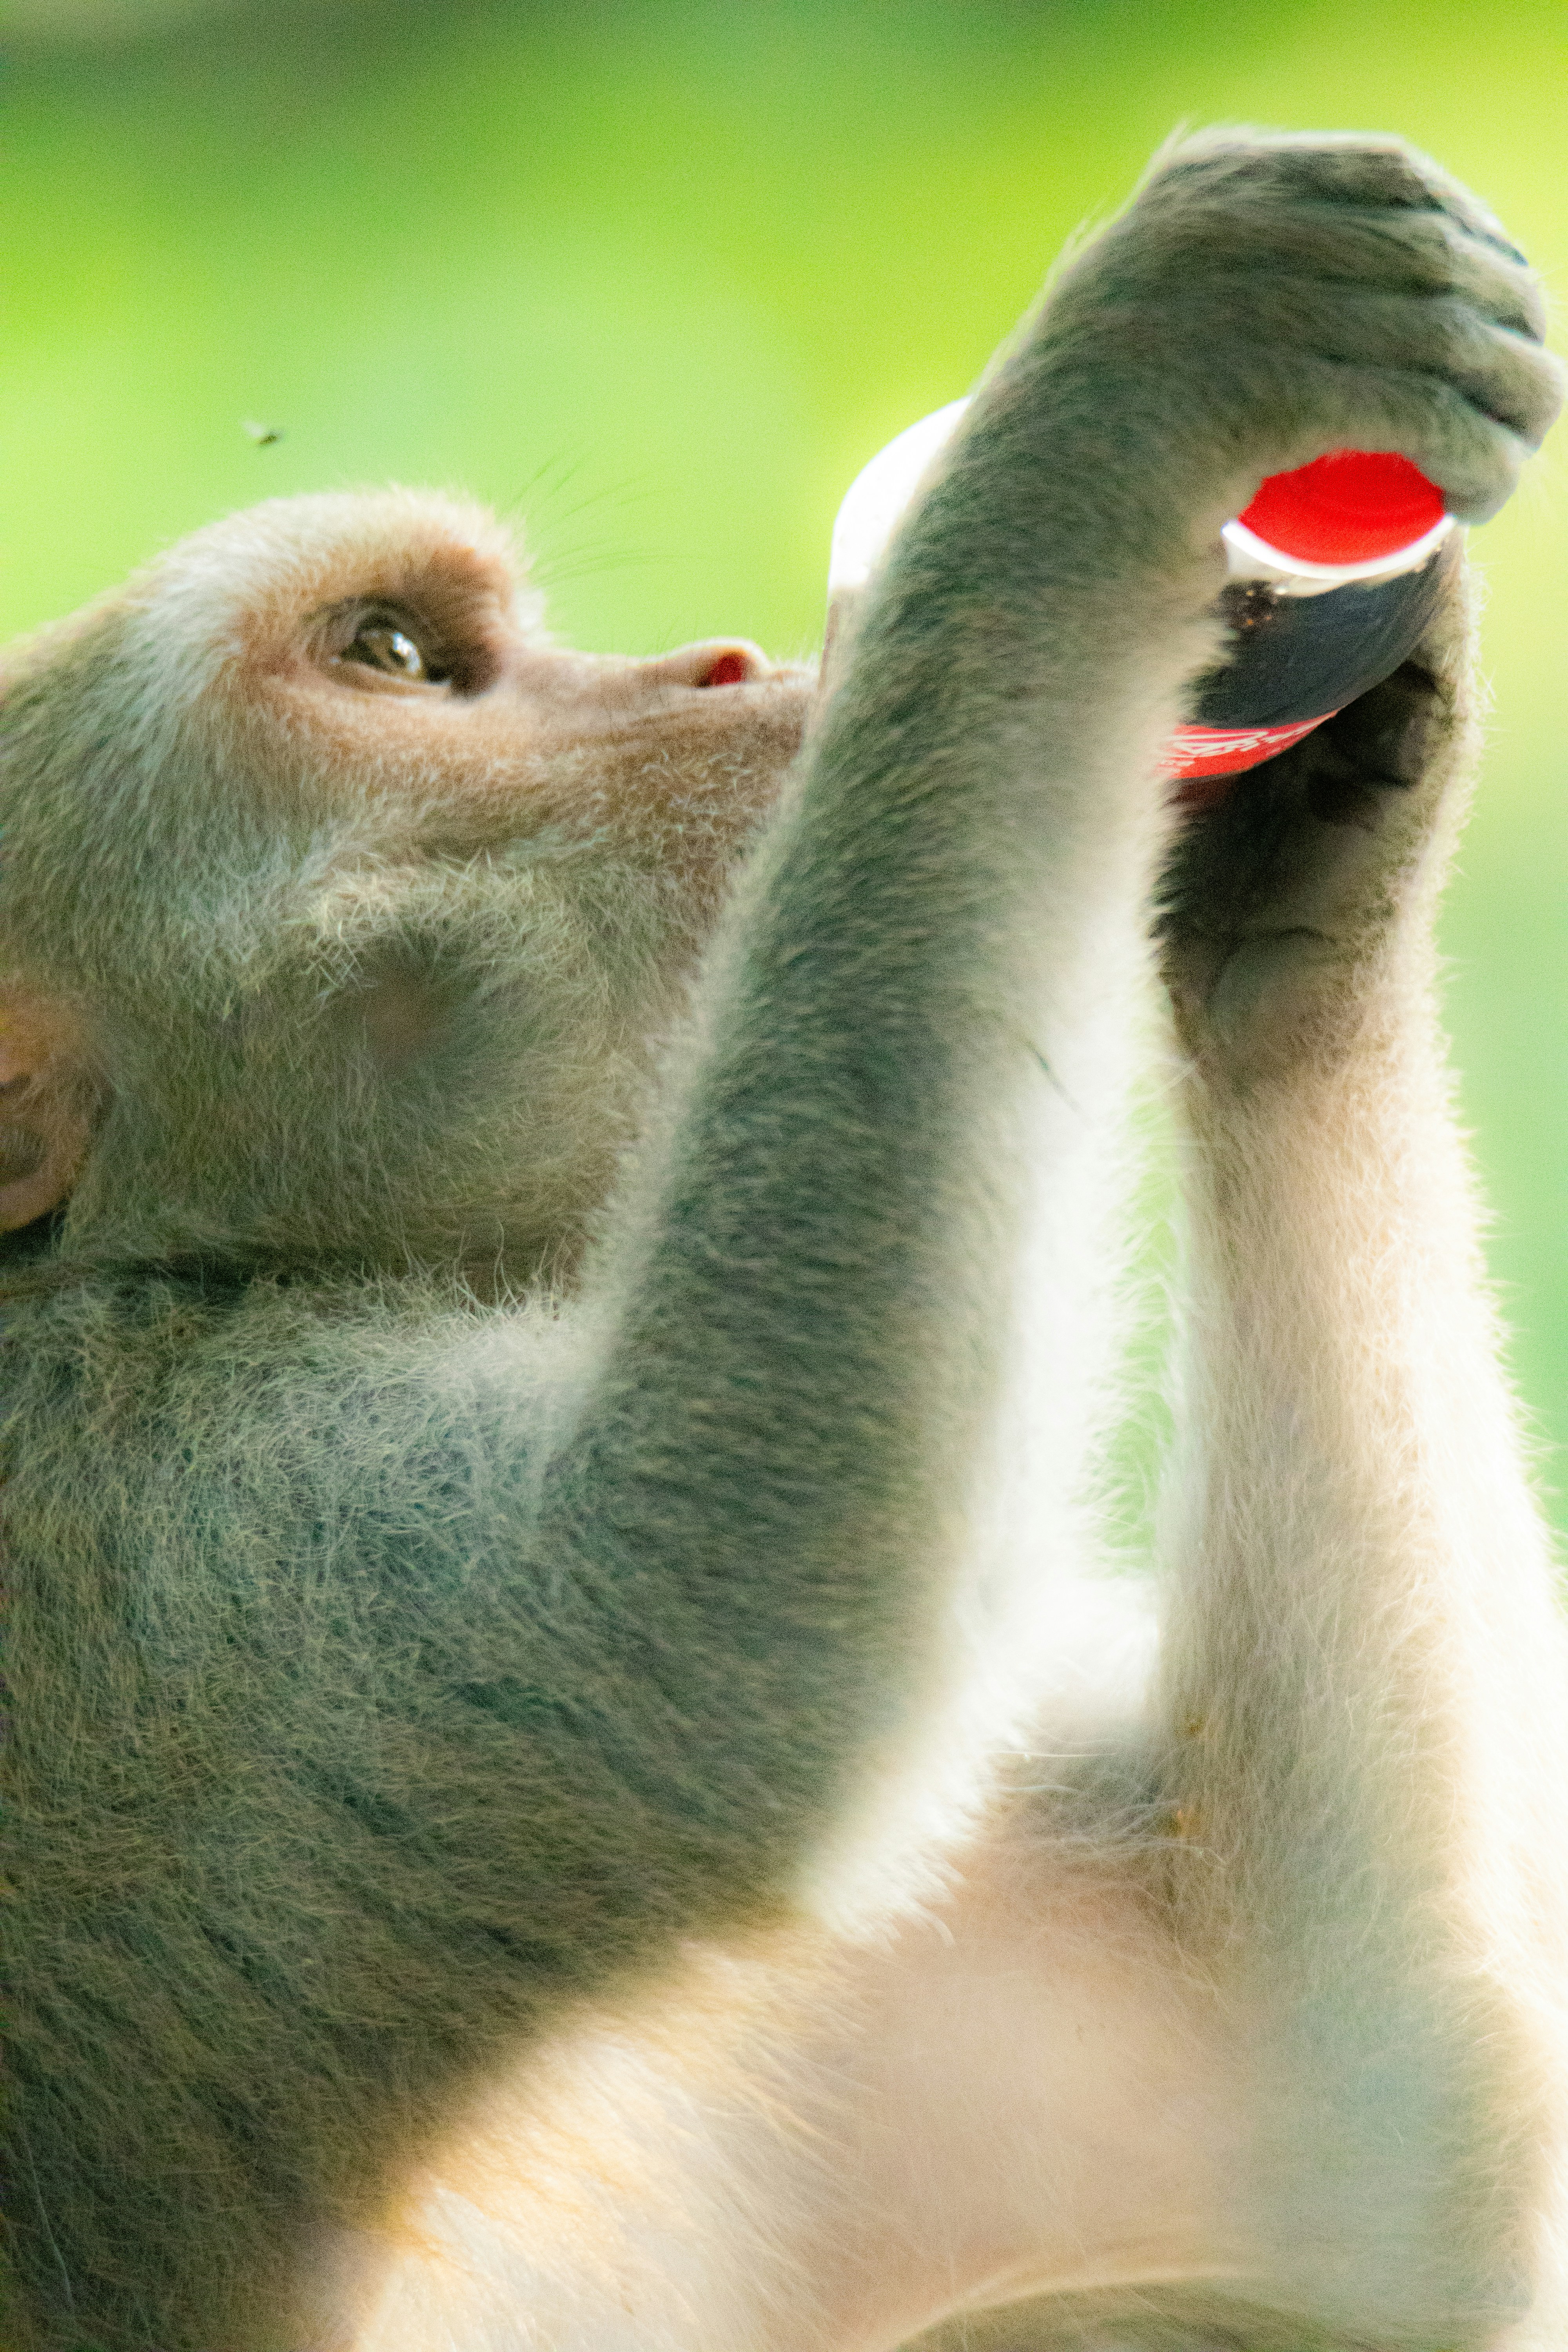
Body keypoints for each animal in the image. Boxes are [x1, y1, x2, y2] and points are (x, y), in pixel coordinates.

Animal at [1, 126, 1566, 2352]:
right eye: (393, 657)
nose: (725, 673)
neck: (189, 1265)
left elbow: (1340, 2126)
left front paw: (1302, 852)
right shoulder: (166, 1545)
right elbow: (713, 1608)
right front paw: (1117, 402)